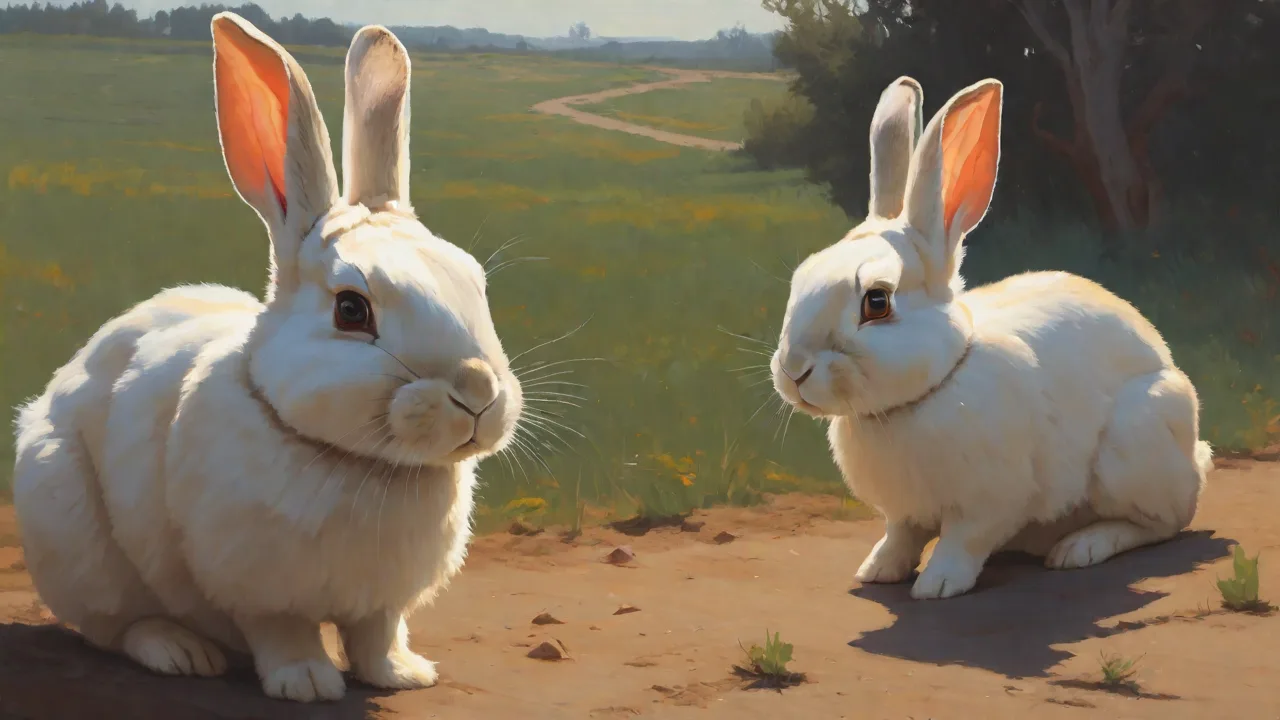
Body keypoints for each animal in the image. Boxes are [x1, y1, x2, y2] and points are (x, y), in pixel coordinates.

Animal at [11, 13, 523, 702]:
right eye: (352, 310)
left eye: (474, 281)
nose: (477, 392)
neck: (362, 464)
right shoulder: (260, 592)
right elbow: (285, 633)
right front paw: (306, 683)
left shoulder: (381, 604)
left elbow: (378, 634)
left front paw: (403, 676)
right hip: (74, 537)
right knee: (118, 626)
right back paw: (181, 652)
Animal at [770, 76, 1210, 600]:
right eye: (800, 277)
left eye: (876, 302)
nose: (794, 370)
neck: (922, 395)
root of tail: (1197, 453)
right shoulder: (904, 513)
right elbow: (900, 536)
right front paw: (876, 570)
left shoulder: (991, 501)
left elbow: (964, 540)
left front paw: (938, 584)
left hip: (1133, 446)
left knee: (1163, 523)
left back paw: (1080, 547)